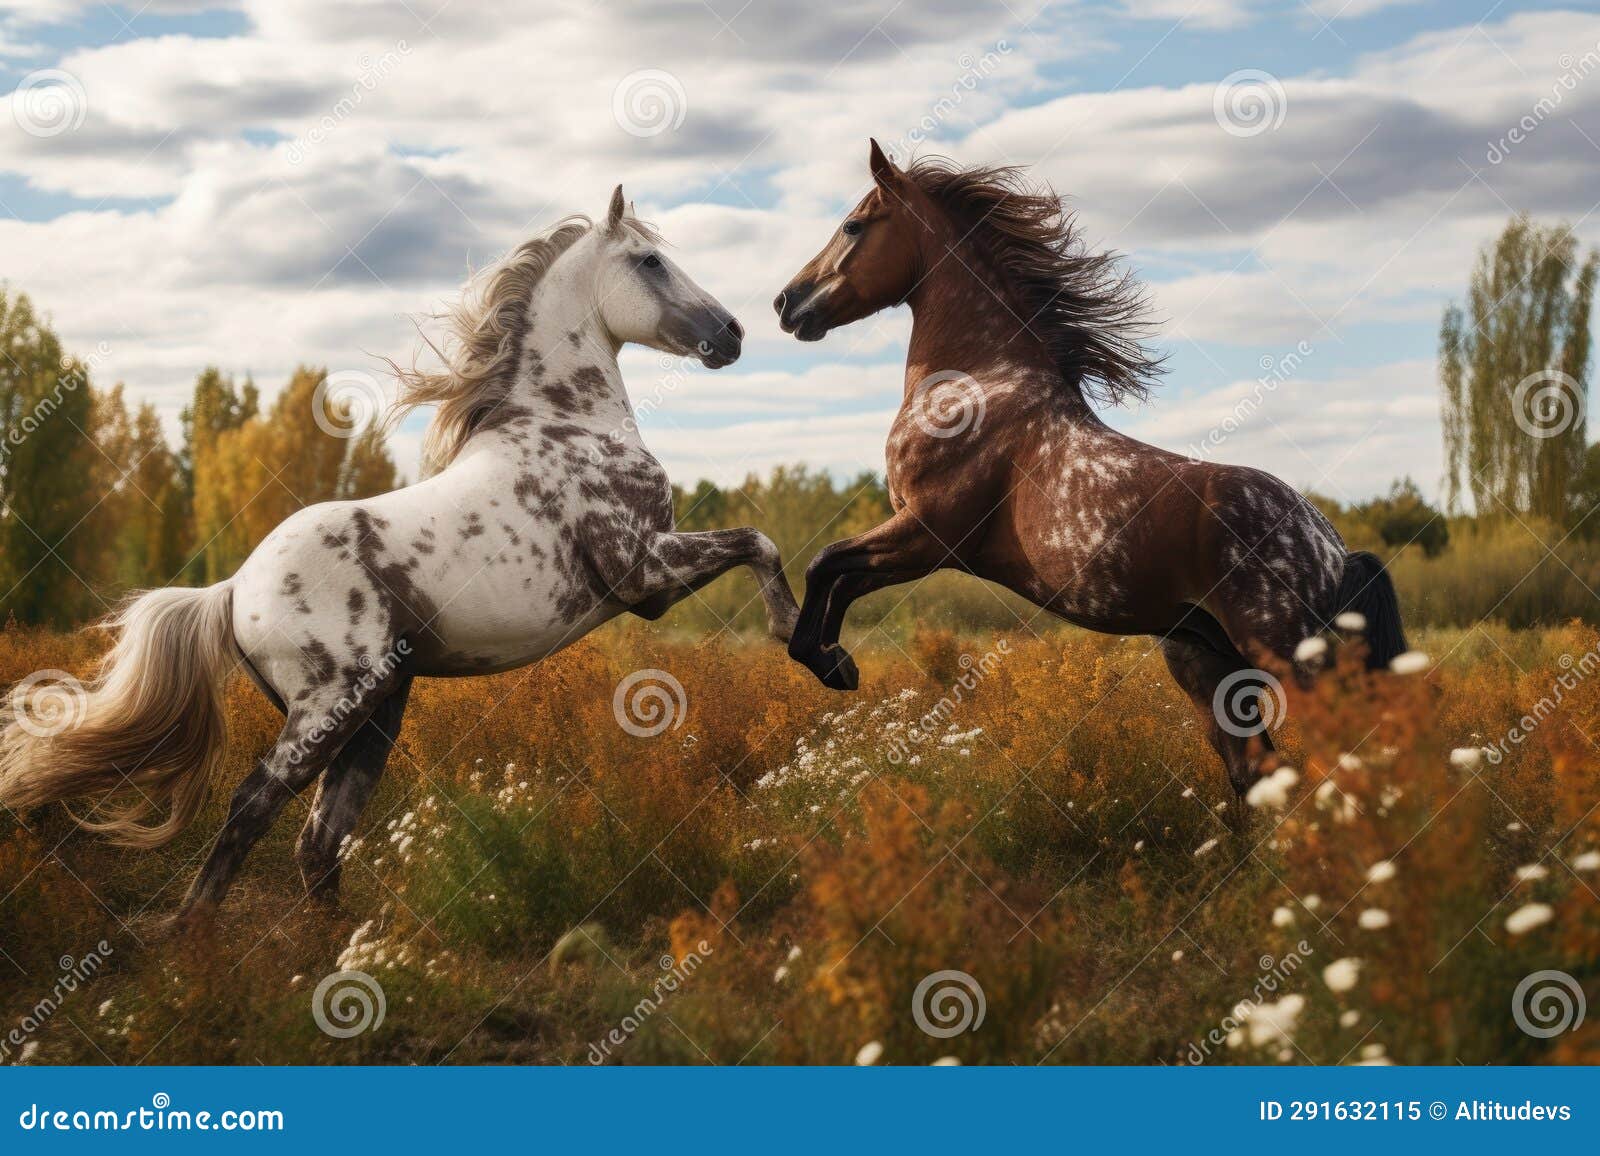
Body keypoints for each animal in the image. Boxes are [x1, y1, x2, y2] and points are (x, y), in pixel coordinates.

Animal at [0, 186, 800, 922]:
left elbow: (756, 544)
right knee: (255, 805)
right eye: (650, 260)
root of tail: (232, 590)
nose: (731, 332)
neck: (570, 427)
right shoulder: (643, 574)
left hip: (377, 711)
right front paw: (802, 638)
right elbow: (758, 541)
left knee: (319, 840)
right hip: (329, 706)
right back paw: (196, 939)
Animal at [773, 141, 1407, 798]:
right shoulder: (914, 543)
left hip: (1288, 659)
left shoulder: (927, 536)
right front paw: (837, 661)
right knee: (1253, 771)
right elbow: (840, 576)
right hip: (1208, 662)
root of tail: (1333, 550)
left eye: (853, 224)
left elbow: (826, 564)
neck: (976, 387)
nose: (786, 303)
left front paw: (830, 664)